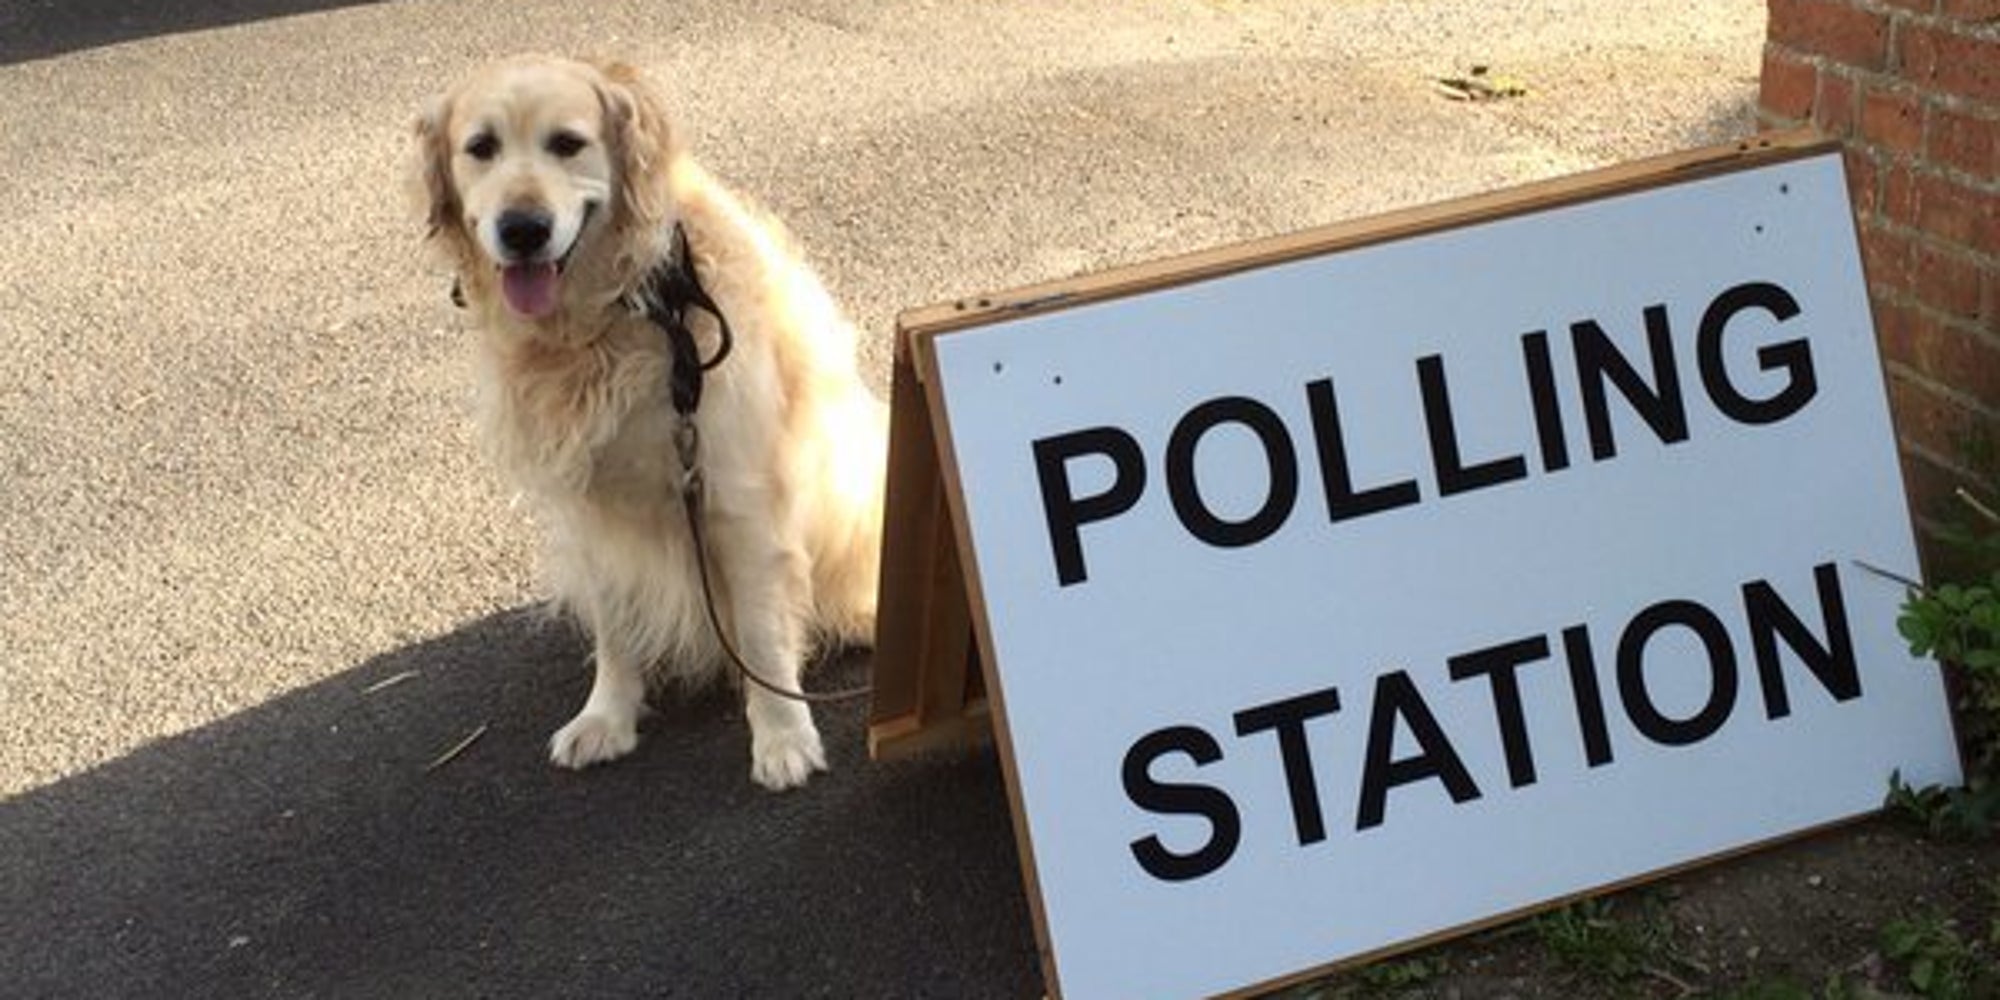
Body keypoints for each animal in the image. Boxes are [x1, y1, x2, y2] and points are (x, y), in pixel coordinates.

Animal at [410, 56, 888, 788]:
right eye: (481, 147)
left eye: (567, 143)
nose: (522, 229)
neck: (615, 317)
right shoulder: (592, 511)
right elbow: (614, 626)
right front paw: (607, 716)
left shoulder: (740, 497)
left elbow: (761, 637)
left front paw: (782, 736)